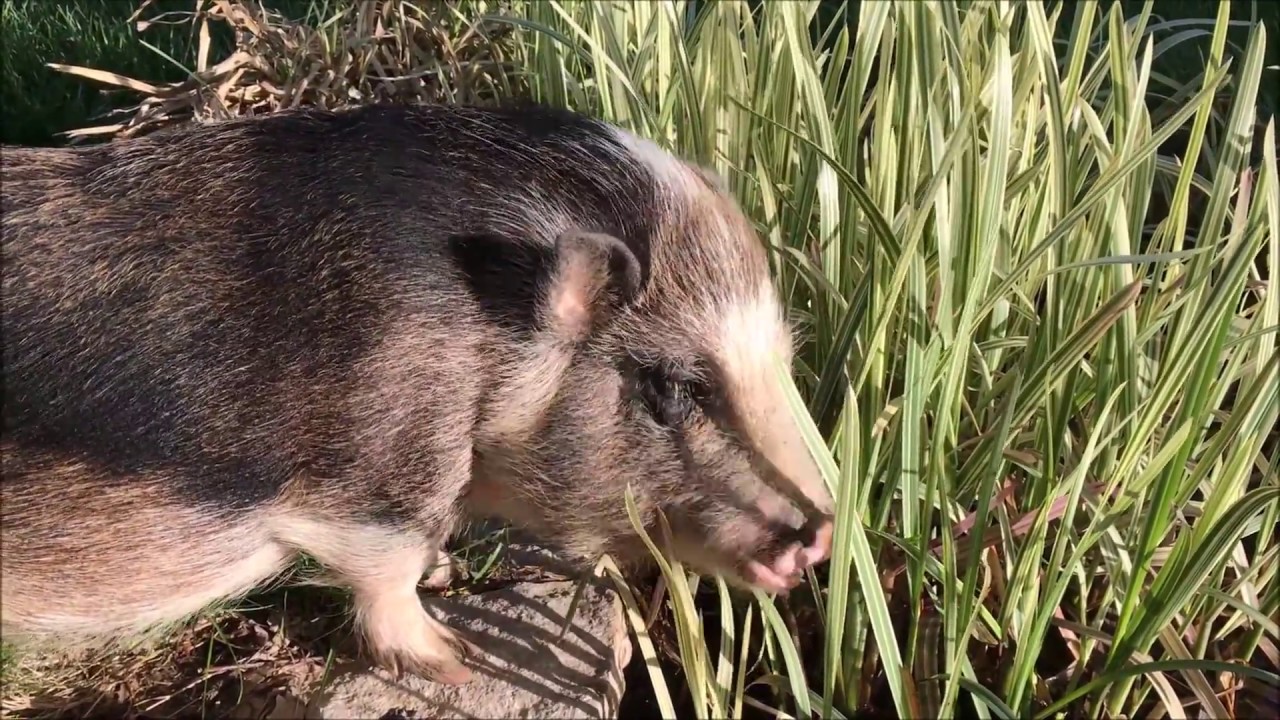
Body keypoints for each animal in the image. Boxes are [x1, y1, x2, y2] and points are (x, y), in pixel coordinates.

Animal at [0, 102, 835, 684]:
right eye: (677, 384)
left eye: (782, 360)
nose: (822, 531)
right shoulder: (381, 472)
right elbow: (390, 568)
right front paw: (455, 660)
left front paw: (449, 582)